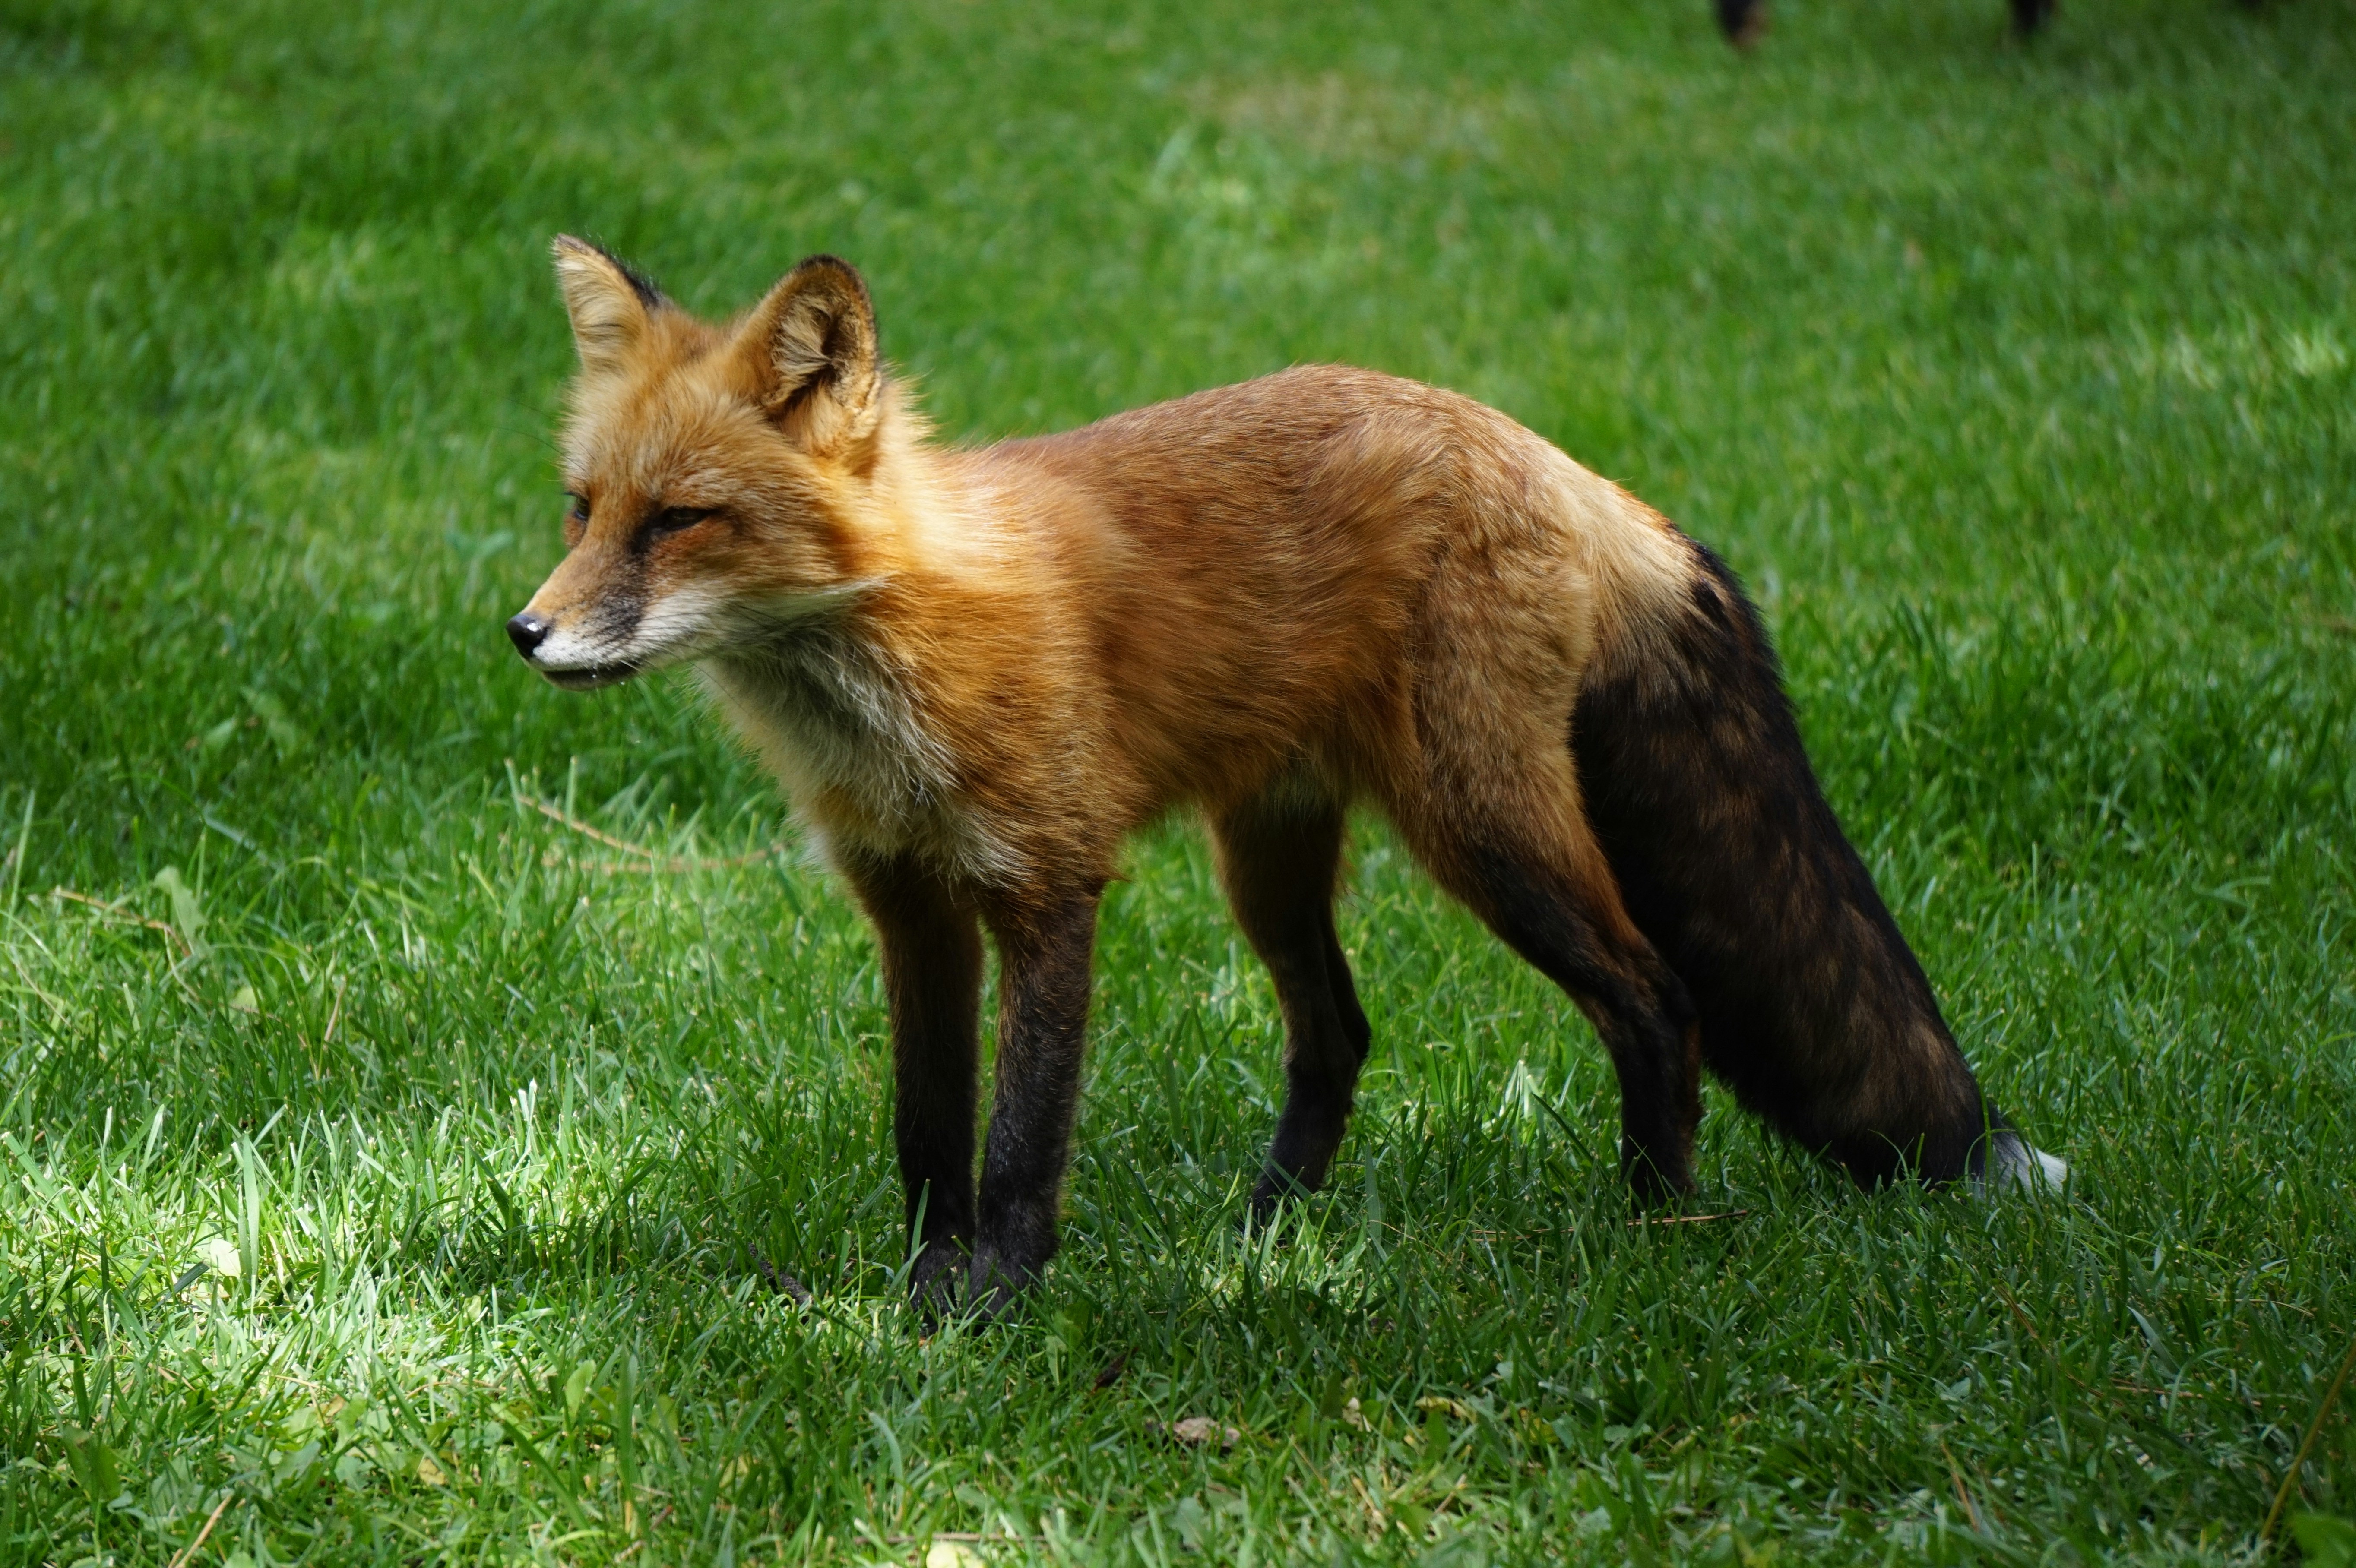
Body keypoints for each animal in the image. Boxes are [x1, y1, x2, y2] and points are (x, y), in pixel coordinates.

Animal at [508, 237, 2066, 1314]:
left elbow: (1020, 1138)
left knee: (1656, 998)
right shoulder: (908, 900)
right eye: (584, 512)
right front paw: (919, 1291)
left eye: (680, 522)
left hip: (1483, 833)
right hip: (1266, 860)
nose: (525, 634)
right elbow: (927, 1127)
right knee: (1340, 1038)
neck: (897, 652)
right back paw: (1263, 1236)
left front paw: (994, 1309)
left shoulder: (1048, 882)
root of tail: (1548, 456)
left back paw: (1651, 1225)